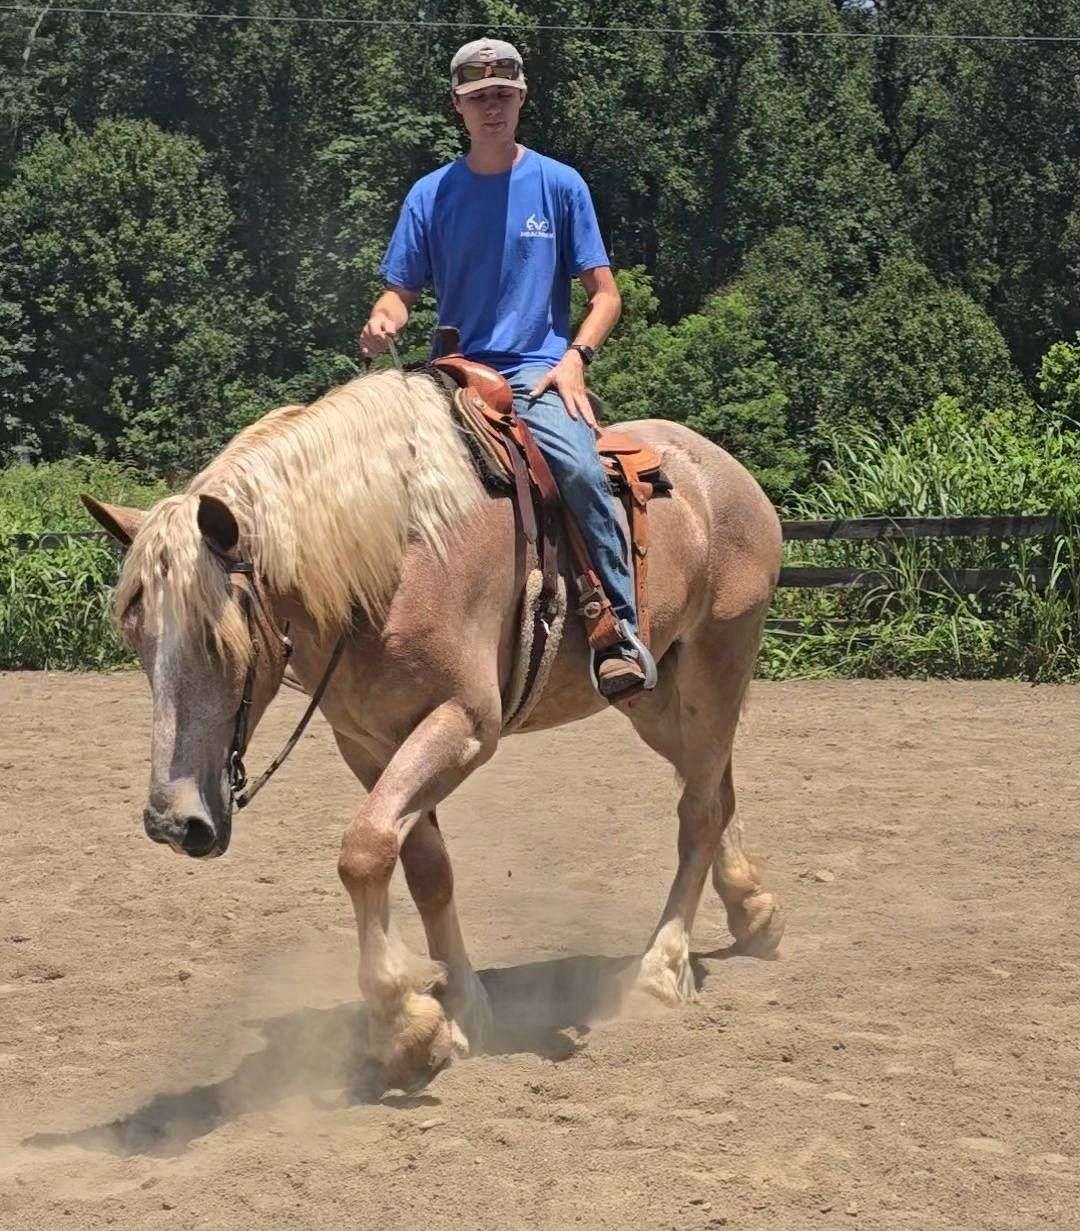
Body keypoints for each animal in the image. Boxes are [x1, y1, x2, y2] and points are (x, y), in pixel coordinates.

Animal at [83, 368, 785, 1093]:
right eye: (136, 636)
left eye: (219, 640)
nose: (174, 822)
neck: (394, 557)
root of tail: (727, 474)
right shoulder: (371, 745)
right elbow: (424, 869)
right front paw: (461, 1008)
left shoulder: (463, 725)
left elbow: (364, 849)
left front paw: (404, 1025)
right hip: (654, 694)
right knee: (712, 783)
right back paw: (752, 908)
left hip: (716, 663)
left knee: (698, 811)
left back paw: (659, 970)